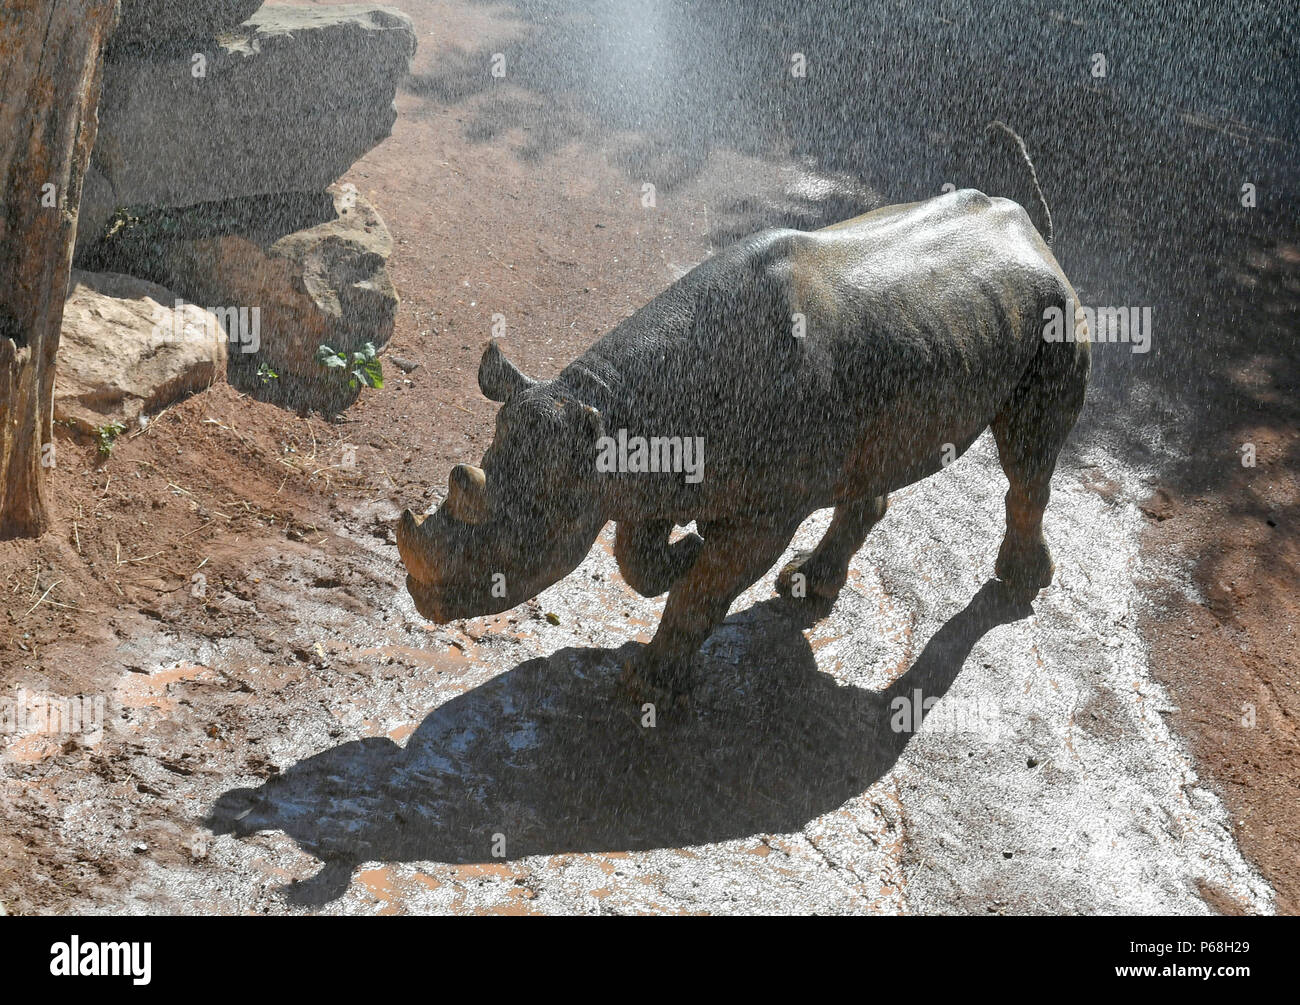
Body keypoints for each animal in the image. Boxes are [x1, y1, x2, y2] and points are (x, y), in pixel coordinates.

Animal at [397, 129, 1090, 698]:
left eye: (532, 524)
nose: (422, 597)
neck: (616, 411)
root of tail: (1032, 234)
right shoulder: (651, 466)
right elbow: (635, 557)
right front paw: (683, 552)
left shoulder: (764, 510)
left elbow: (703, 592)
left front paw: (649, 686)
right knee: (870, 464)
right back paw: (807, 585)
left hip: (1054, 315)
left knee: (1027, 459)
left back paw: (1017, 587)